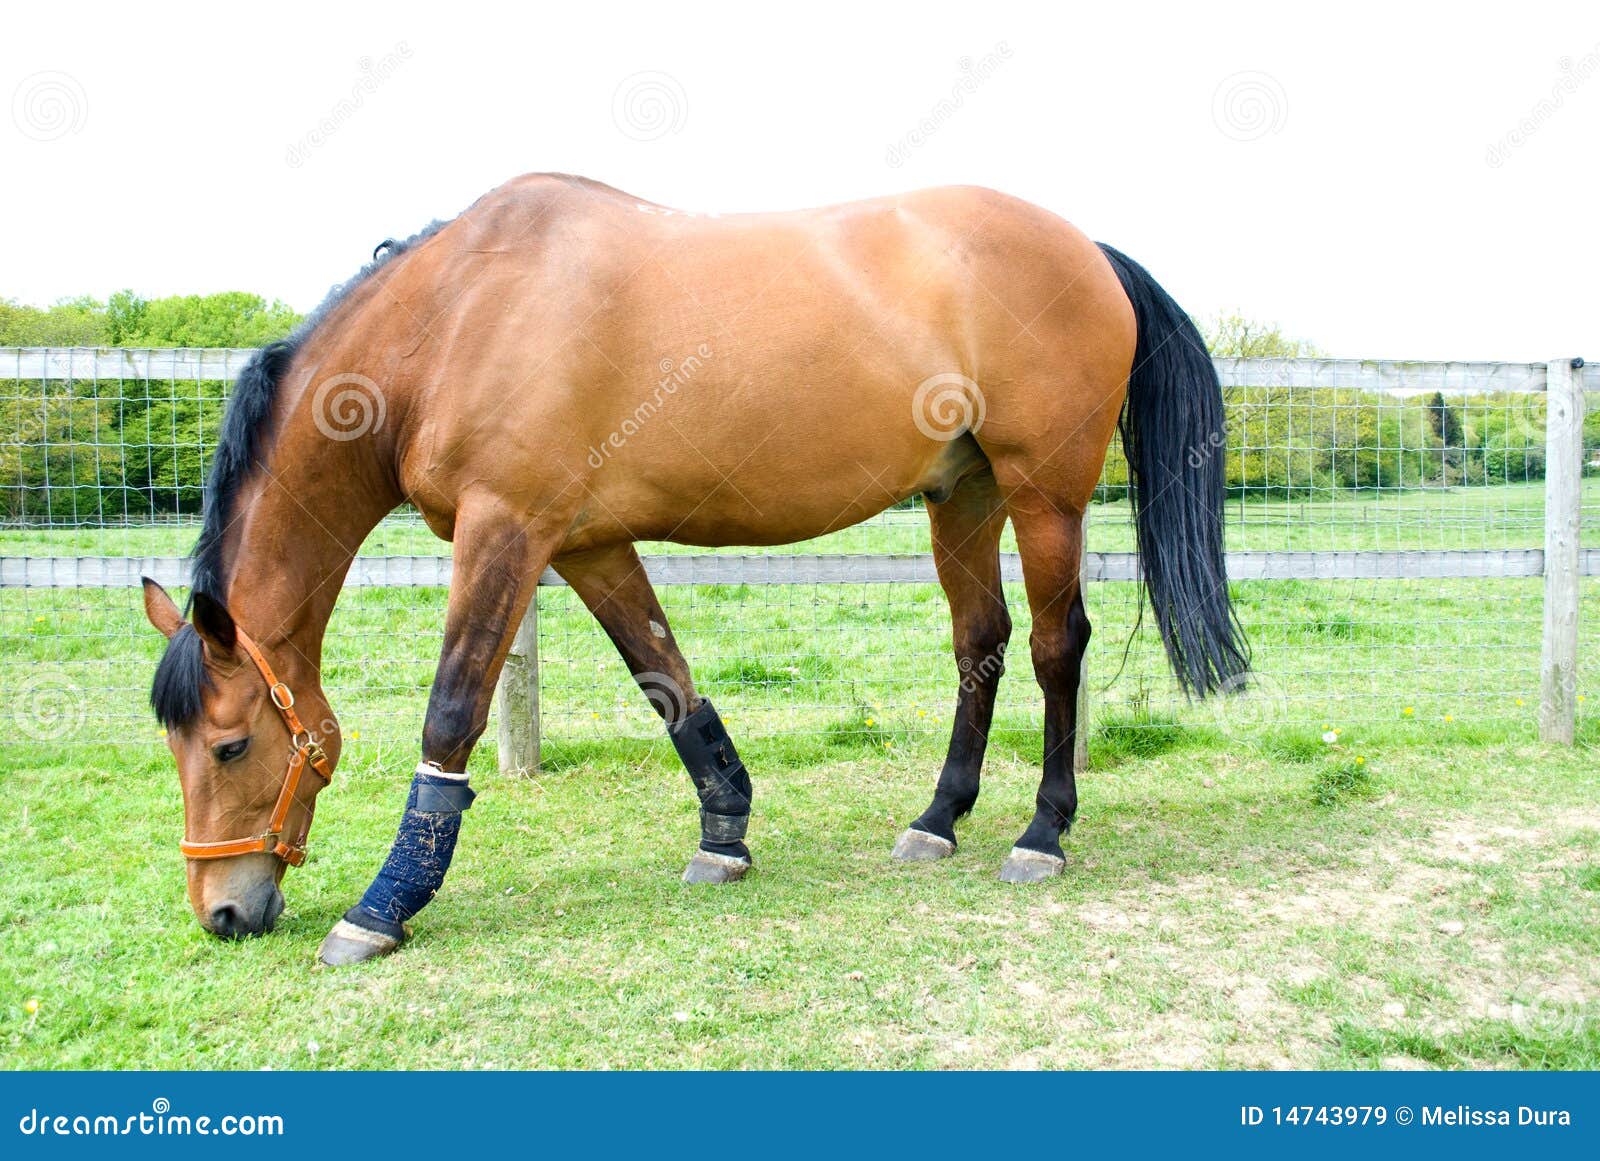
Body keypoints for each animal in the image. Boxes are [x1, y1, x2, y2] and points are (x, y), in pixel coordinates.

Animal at [142, 174, 1246, 965]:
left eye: (232, 746)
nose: (222, 913)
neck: (456, 317)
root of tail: (1087, 249)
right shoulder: (583, 542)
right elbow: (664, 679)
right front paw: (725, 830)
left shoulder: (504, 532)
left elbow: (451, 713)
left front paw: (382, 906)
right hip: (962, 496)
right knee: (982, 642)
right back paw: (937, 819)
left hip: (1041, 495)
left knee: (1060, 648)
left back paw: (1041, 833)